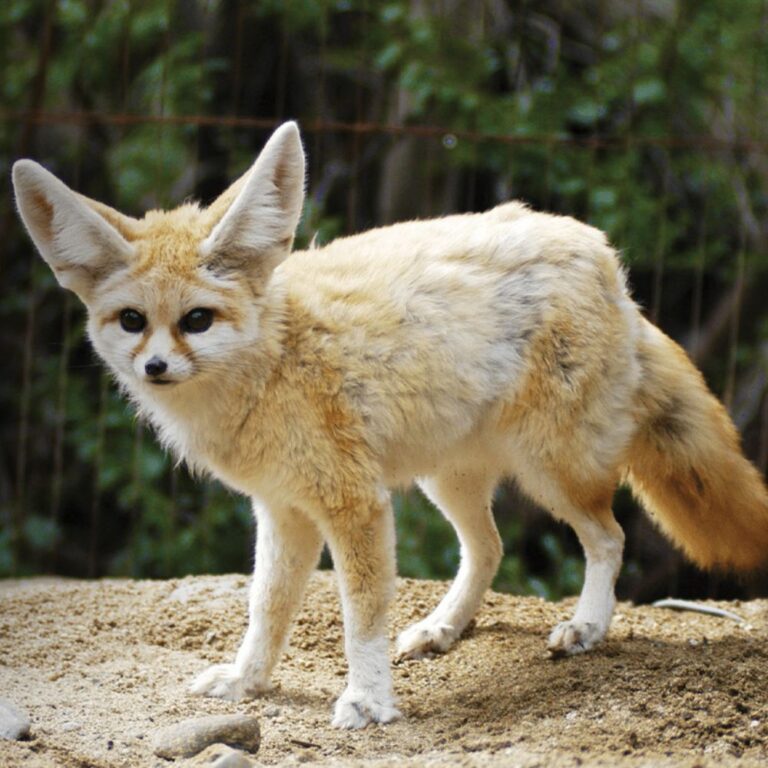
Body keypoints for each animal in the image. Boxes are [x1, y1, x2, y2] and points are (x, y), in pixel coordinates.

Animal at [12, 122, 768, 729]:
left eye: (198, 319)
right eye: (132, 321)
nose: (156, 368)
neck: (274, 359)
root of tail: (606, 259)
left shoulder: (354, 505)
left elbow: (362, 616)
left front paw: (369, 701)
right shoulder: (283, 510)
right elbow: (266, 608)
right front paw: (248, 680)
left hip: (552, 470)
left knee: (609, 539)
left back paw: (586, 626)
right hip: (449, 479)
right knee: (490, 546)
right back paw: (444, 628)